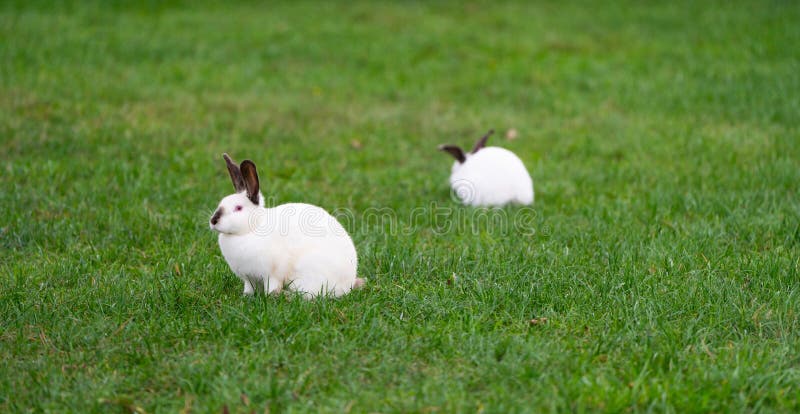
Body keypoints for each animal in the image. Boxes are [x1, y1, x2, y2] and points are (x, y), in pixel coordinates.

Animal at [209, 153, 364, 298]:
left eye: (238, 208)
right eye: (221, 202)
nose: (213, 221)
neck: (251, 229)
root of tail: (348, 283)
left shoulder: (272, 274)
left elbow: (272, 286)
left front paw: (271, 296)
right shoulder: (249, 278)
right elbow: (249, 288)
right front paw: (246, 296)